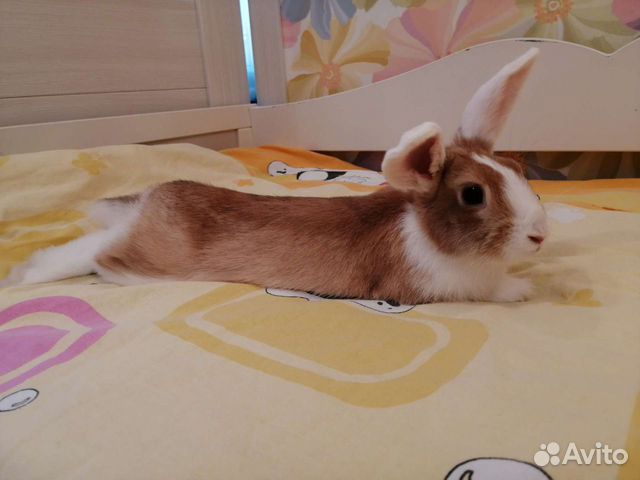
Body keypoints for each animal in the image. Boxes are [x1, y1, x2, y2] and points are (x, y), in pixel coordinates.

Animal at [1, 48, 547, 304]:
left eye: (519, 170)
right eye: (472, 194)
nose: (540, 236)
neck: (428, 235)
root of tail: (149, 203)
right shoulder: (431, 286)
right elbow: (488, 291)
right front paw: (520, 290)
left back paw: (25, 272)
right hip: (149, 260)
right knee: (102, 256)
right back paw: (30, 276)